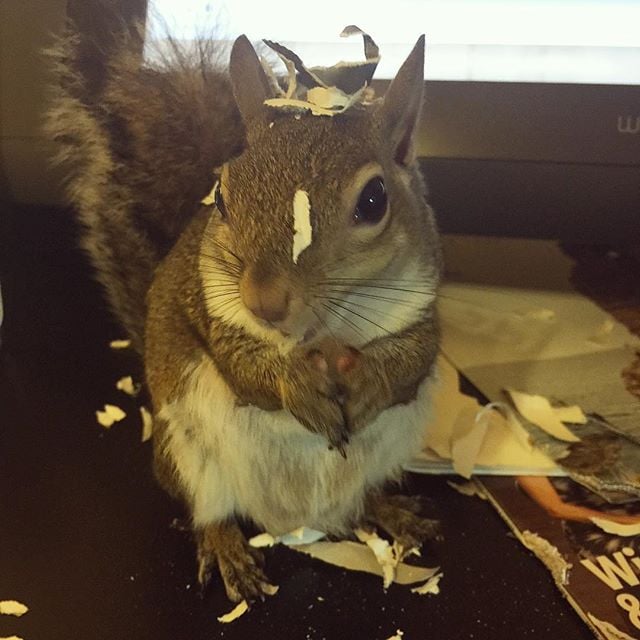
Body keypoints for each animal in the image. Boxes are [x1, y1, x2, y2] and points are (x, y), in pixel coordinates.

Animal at [47, 14, 443, 603]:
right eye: (221, 195)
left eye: (374, 201)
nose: (264, 301)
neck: (323, 332)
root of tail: (297, 521)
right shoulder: (213, 308)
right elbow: (245, 366)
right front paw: (296, 387)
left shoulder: (422, 303)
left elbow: (413, 358)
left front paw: (370, 382)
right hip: (189, 456)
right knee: (208, 512)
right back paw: (227, 551)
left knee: (363, 499)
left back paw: (392, 512)